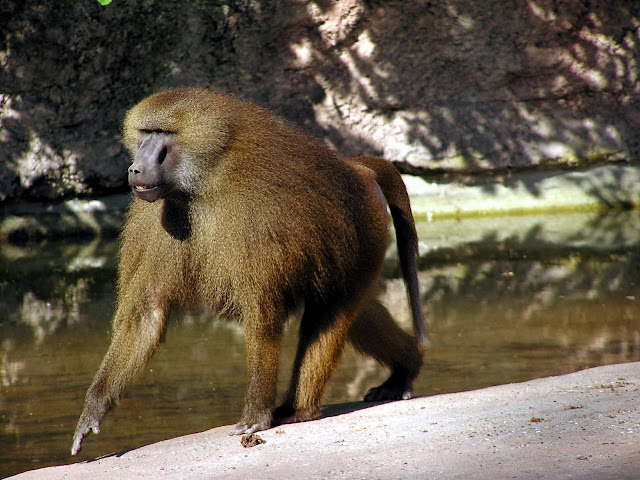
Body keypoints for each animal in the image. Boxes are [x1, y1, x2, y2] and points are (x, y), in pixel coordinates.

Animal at [71, 87, 426, 455]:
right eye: (145, 133)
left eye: (163, 134)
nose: (136, 169)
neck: (205, 179)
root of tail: (356, 169)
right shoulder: (159, 215)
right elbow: (147, 313)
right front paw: (94, 408)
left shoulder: (252, 217)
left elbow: (261, 316)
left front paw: (255, 414)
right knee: (357, 312)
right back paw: (404, 368)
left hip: (367, 232)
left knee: (329, 315)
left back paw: (302, 410)